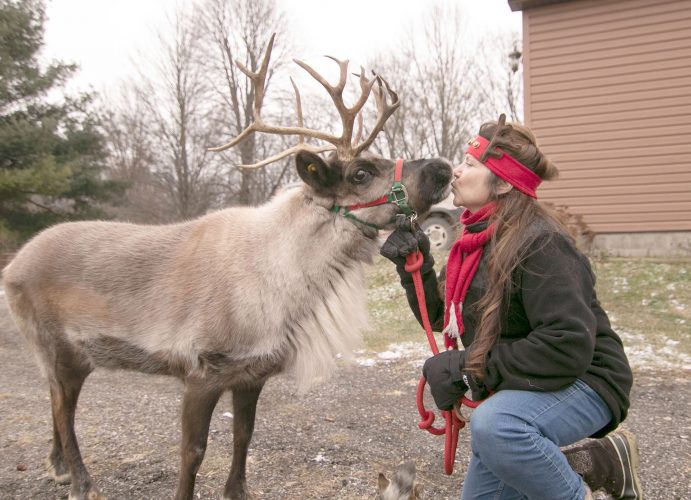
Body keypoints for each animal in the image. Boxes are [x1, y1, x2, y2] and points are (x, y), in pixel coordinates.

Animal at [1, 34, 452, 500]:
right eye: (361, 172)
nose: (442, 167)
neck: (282, 287)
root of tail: (13, 264)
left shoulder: (253, 373)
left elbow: (244, 435)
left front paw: (239, 490)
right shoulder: (203, 369)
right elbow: (193, 452)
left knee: (55, 397)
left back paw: (58, 467)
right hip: (57, 345)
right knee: (63, 406)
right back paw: (80, 480)